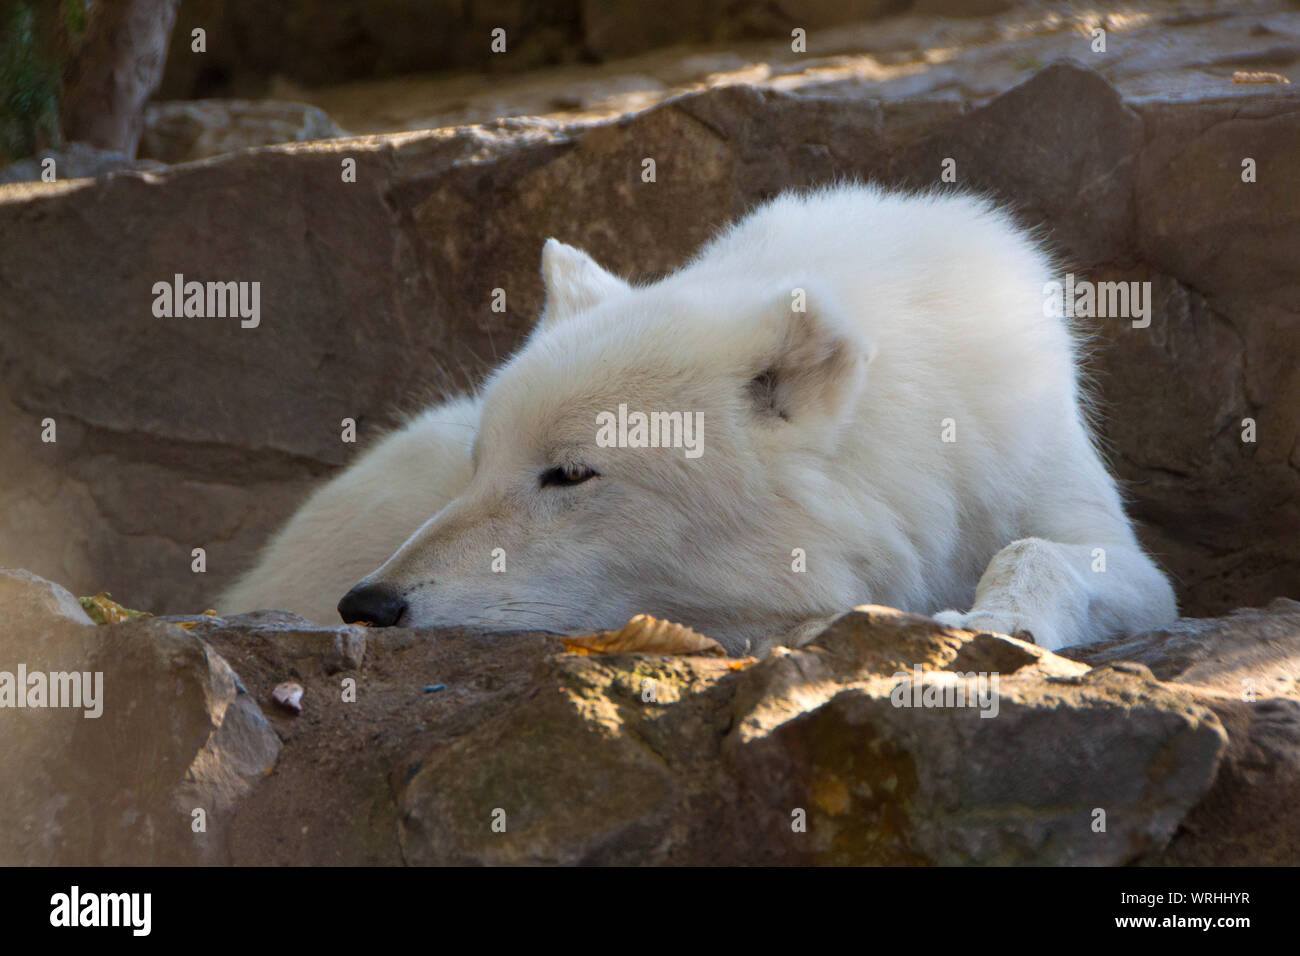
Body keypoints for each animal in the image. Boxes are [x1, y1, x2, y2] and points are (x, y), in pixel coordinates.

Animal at [220, 185, 1178, 655]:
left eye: (570, 472)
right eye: (479, 464)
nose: (367, 605)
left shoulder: (1036, 471)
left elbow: (1057, 551)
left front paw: (993, 618)